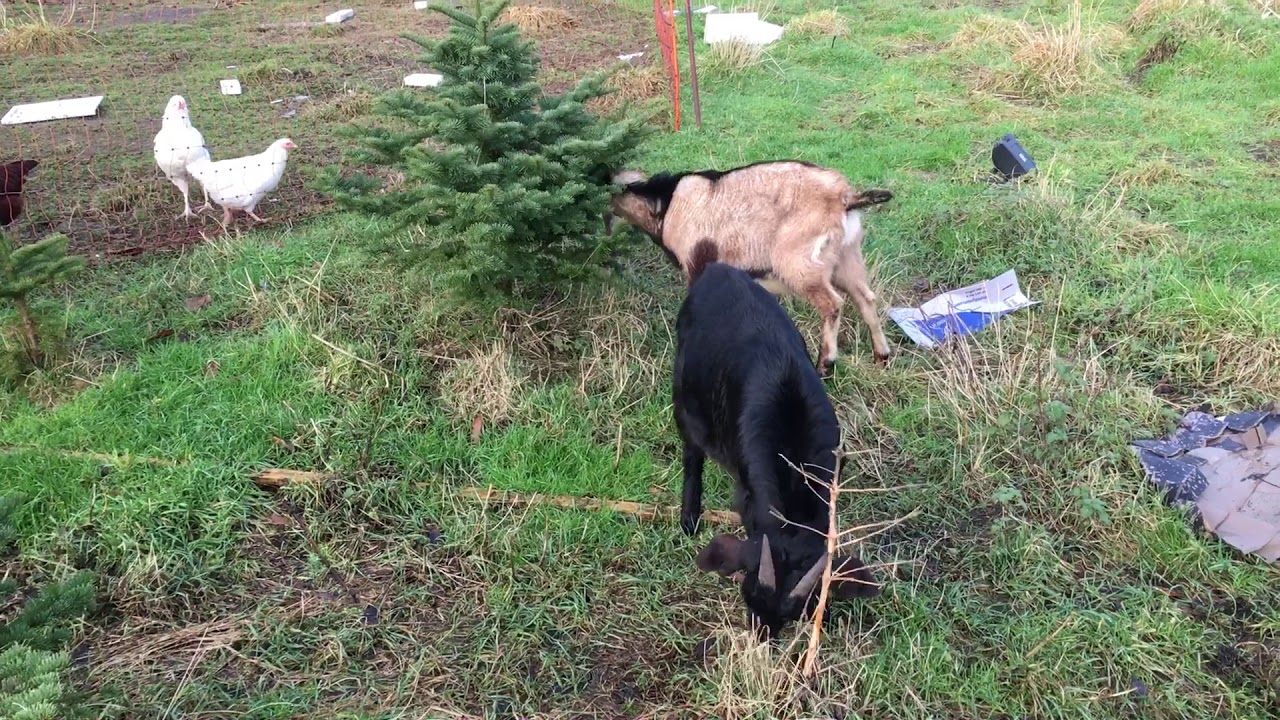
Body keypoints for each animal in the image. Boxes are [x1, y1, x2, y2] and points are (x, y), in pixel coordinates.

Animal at [607, 160, 894, 374]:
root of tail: (844, 197)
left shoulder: (697, 265)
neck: (666, 205)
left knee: (832, 304)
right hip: (846, 257)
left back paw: (825, 363)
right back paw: (882, 355)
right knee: (865, 298)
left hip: (800, 262)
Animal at [674, 240, 880, 640]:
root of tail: (718, 270)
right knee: (692, 453)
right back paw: (689, 519)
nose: (761, 637)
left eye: (797, 612)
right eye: (747, 592)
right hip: (683, 394)